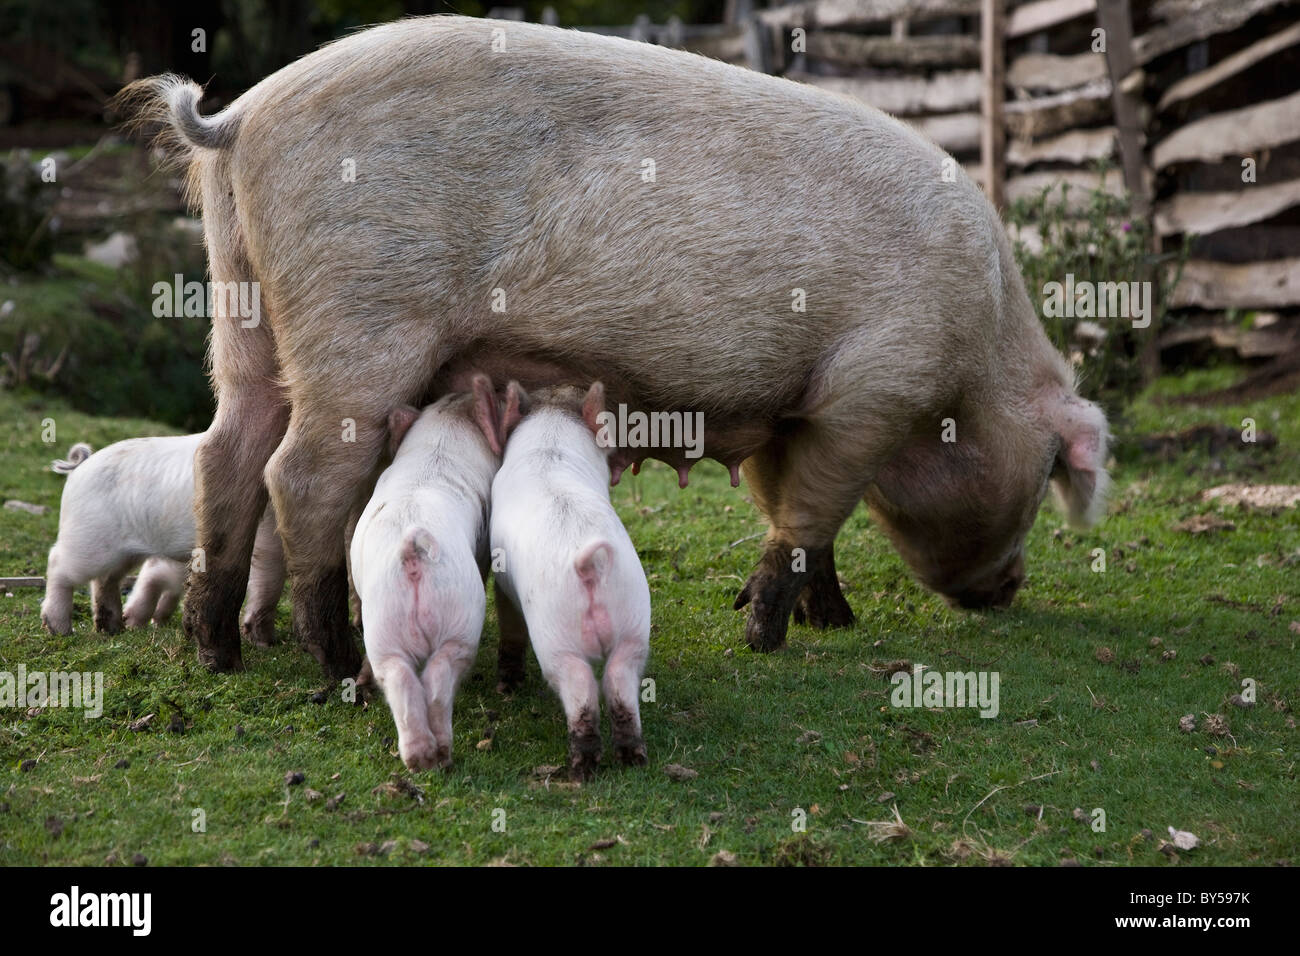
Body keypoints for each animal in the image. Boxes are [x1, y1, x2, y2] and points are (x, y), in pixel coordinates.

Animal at [40, 437, 286, 641]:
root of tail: (81, 465)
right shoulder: (267, 534)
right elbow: (270, 580)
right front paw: (266, 642)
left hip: (123, 553)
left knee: (106, 579)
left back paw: (113, 628)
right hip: (88, 539)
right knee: (57, 563)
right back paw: (60, 629)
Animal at [116, 15, 1109, 679]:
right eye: (1049, 471)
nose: (1009, 587)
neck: (976, 364)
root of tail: (241, 118)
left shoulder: (789, 406)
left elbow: (795, 515)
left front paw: (828, 619)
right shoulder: (871, 388)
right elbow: (811, 513)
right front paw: (767, 639)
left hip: (242, 307)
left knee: (226, 451)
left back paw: (219, 652)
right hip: (360, 320)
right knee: (298, 475)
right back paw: (331, 662)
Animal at [349, 374, 522, 770]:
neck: (442, 435)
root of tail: (412, 548)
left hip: (385, 622)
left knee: (401, 677)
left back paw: (422, 758)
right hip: (460, 620)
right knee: (439, 675)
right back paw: (438, 756)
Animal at [491, 382, 651, 779]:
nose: (561, 385)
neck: (550, 435)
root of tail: (588, 565)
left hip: (555, 634)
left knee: (580, 687)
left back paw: (582, 769)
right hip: (633, 618)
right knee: (619, 681)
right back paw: (633, 759)